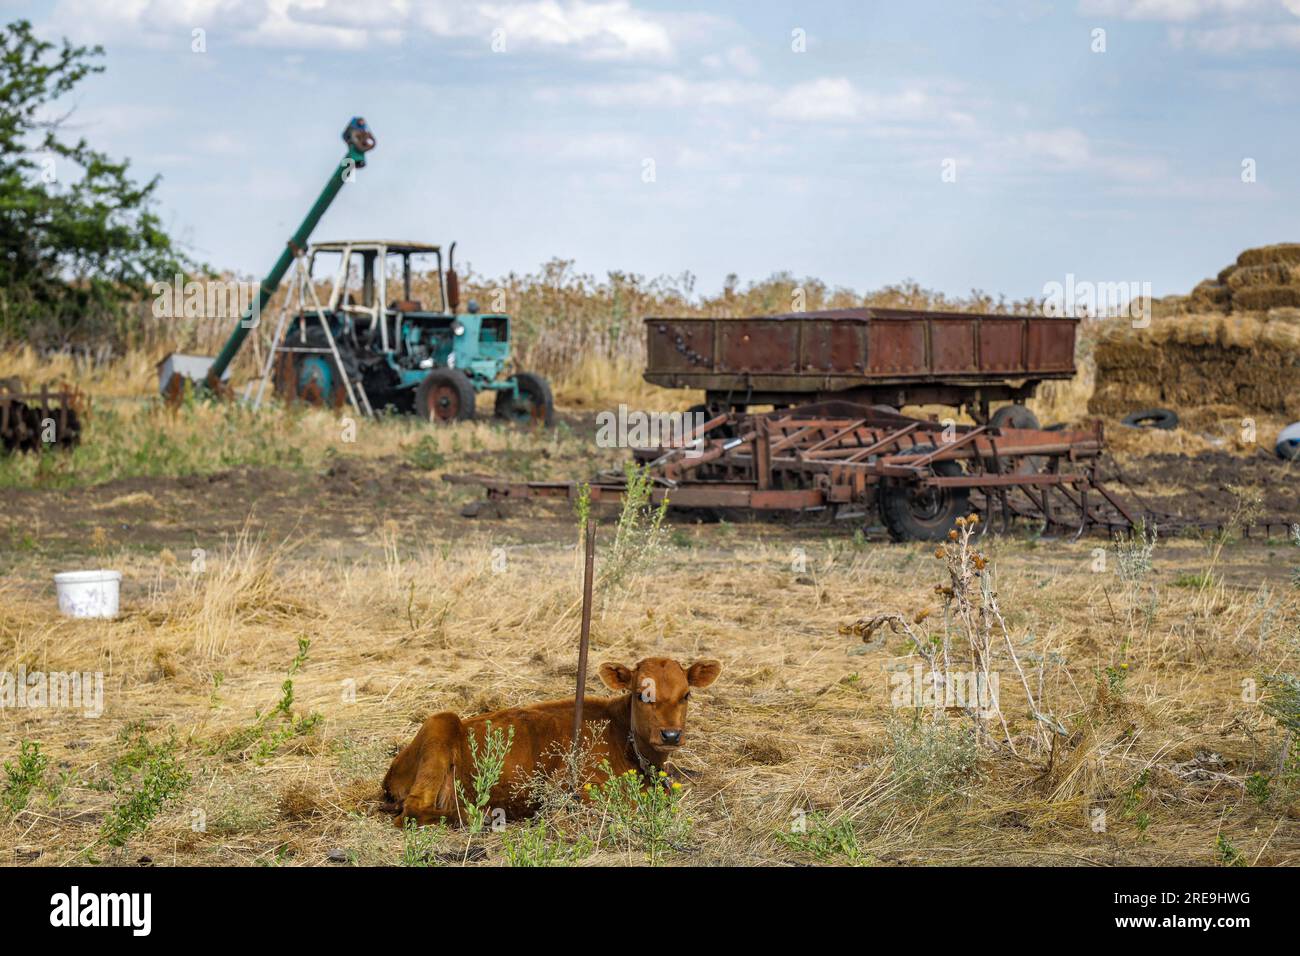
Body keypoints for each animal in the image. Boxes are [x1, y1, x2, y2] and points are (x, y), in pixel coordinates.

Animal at [381, 656, 721, 826]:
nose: (671, 735)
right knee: (412, 811)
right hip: (440, 724)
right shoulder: (569, 784)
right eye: (642, 695)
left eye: (686, 695)